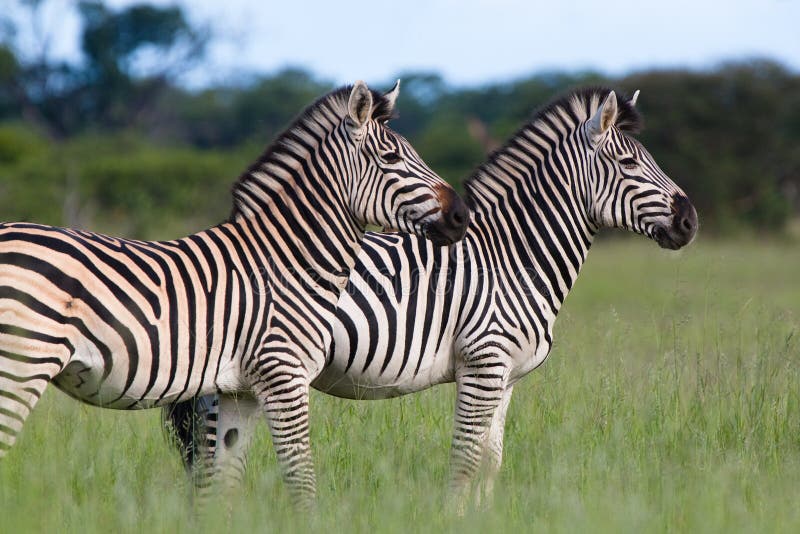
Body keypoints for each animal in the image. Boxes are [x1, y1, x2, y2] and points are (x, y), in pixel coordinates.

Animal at [0, 81, 469, 507]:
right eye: (391, 158)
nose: (462, 217)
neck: (285, 261)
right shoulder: (283, 374)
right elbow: (302, 480)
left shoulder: (236, 391)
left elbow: (221, 486)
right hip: (21, 366)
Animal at [166, 87, 698, 509]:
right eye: (629, 163)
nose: (690, 221)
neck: (512, 255)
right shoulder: (483, 363)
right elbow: (464, 461)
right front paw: (454, 519)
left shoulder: (506, 378)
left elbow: (489, 463)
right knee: (208, 469)